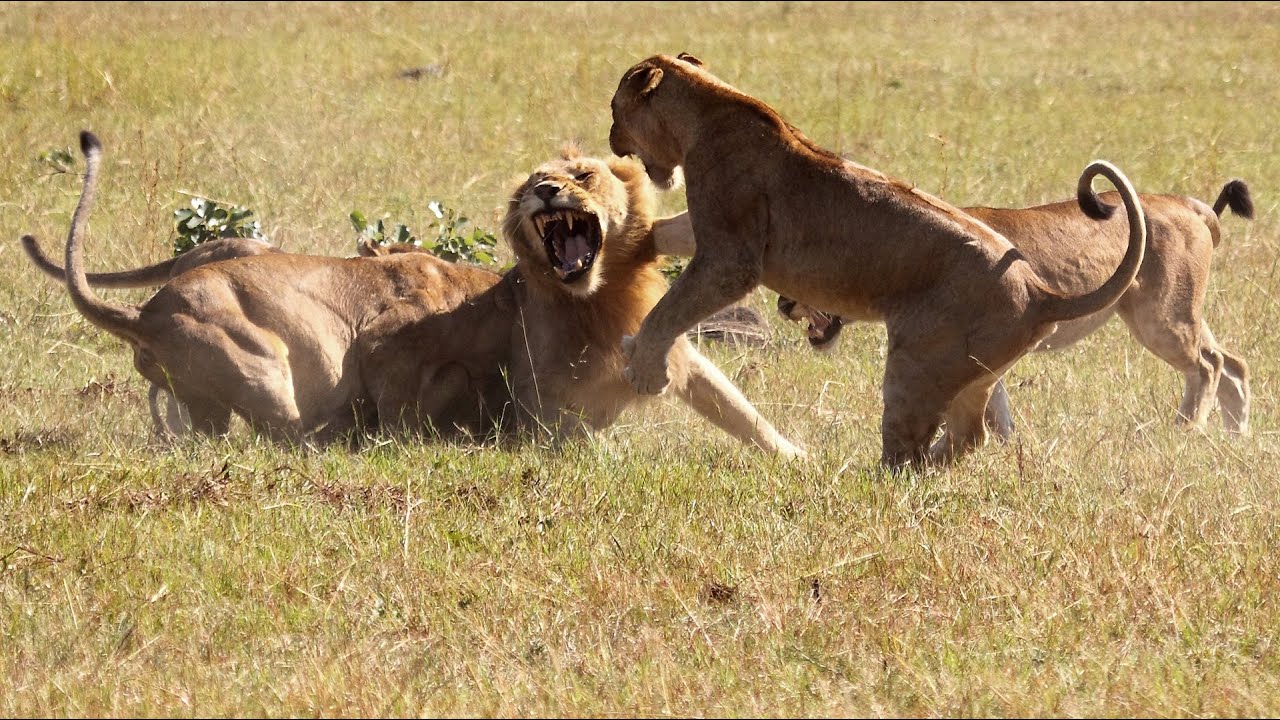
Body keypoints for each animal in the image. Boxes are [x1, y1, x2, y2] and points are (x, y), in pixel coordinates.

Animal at [33, 131, 800, 457]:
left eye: (583, 175)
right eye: (534, 184)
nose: (548, 191)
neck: (591, 297)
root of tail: (147, 314)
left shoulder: (662, 347)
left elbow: (734, 404)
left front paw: (793, 458)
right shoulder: (395, 340)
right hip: (265, 368)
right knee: (288, 433)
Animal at [608, 53, 1147, 467]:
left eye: (614, 108)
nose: (611, 138)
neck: (705, 108)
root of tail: (1041, 292)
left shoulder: (730, 258)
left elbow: (669, 311)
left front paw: (646, 371)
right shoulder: (708, 233)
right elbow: (664, 235)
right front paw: (625, 239)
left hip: (916, 363)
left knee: (907, 445)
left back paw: (869, 481)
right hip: (975, 374)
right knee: (968, 436)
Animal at [773, 178, 1254, 437]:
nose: (782, 303)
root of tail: (1186, 203)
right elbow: (997, 410)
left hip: (1161, 318)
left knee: (1208, 365)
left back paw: (1185, 431)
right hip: (1174, 312)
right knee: (1233, 363)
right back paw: (1235, 438)